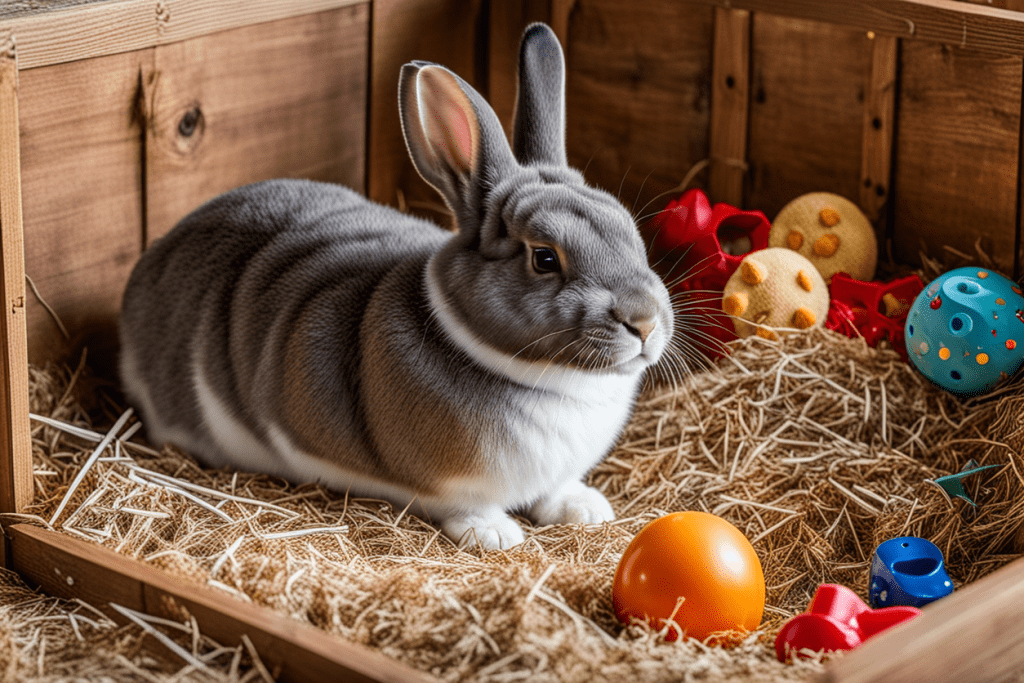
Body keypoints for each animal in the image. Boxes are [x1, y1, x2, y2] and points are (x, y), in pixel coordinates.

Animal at [119, 23, 675, 550]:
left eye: (630, 231)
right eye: (544, 257)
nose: (645, 322)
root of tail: (148, 271)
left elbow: (556, 491)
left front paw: (587, 509)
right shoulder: (451, 487)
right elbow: (467, 508)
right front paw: (495, 536)